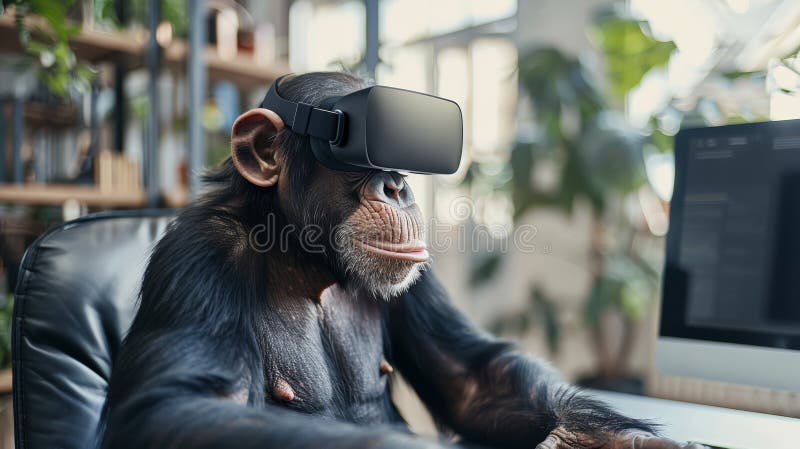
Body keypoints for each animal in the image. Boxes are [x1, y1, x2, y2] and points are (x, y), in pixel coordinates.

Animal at [99, 72, 704, 449]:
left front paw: (607, 437)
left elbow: (471, 379)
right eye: (355, 138)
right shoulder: (199, 255)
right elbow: (180, 404)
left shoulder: (421, 277)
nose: (397, 185)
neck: (306, 261)